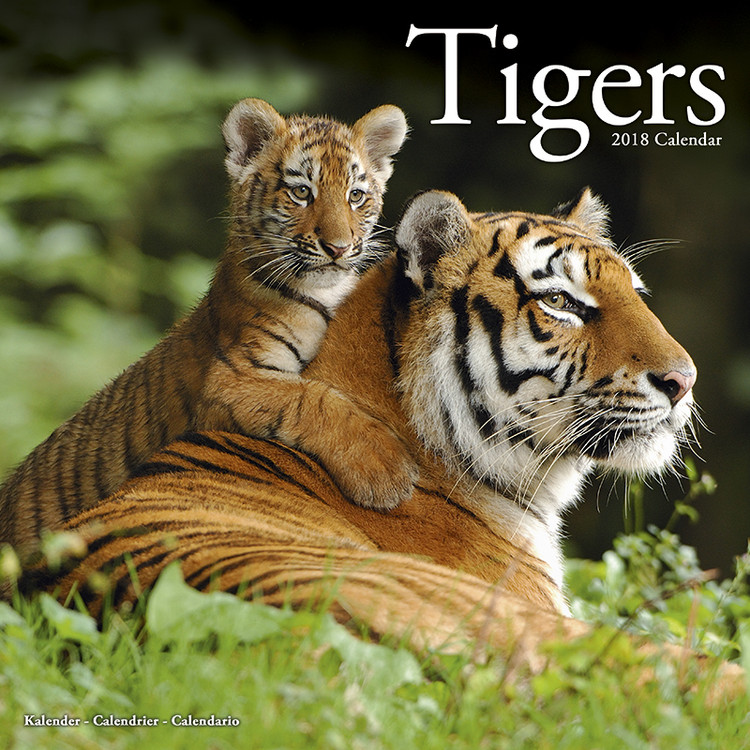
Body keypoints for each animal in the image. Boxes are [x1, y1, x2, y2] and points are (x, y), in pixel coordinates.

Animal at [0, 97, 413, 561]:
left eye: (355, 196)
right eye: (302, 191)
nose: (339, 248)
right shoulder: (230, 377)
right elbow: (313, 400)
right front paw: (386, 473)